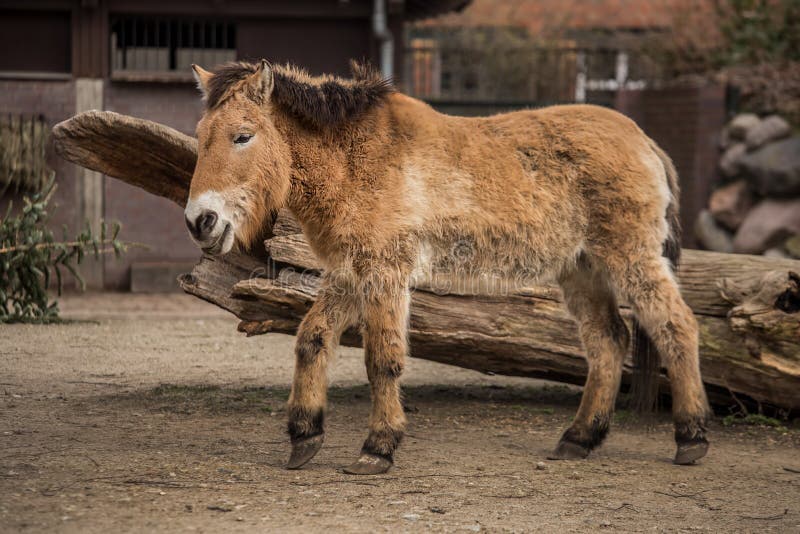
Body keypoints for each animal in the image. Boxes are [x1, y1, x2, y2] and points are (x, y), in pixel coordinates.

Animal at [184, 59, 710, 475]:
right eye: (201, 137)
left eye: (243, 136)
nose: (199, 221)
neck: (357, 159)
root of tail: (643, 140)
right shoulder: (348, 273)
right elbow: (312, 340)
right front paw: (304, 436)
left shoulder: (384, 273)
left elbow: (383, 358)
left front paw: (378, 448)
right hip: (582, 269)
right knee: (608, 341)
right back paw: (578, 439)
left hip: (630, 258)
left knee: (675, 327)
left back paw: (691, 438)